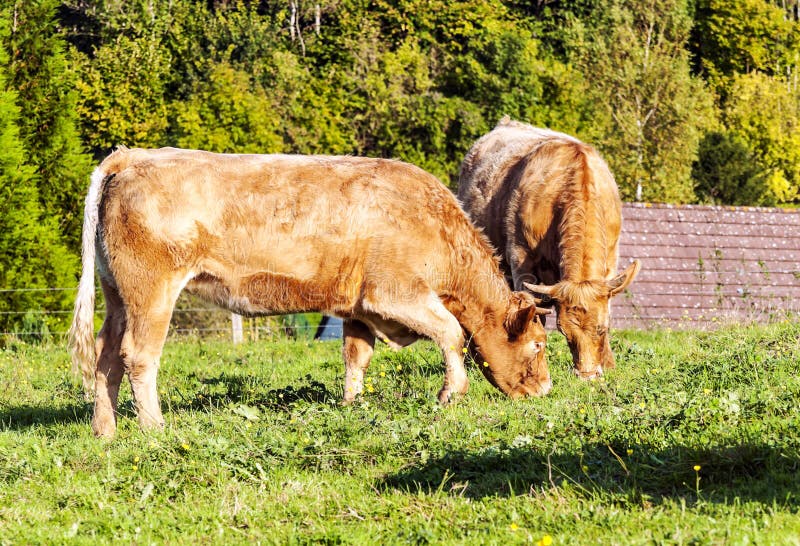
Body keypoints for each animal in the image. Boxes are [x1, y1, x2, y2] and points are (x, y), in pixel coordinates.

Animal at [69, 147, 551, 438]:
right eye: (539, 344)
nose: (545, 390)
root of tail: (131, 155)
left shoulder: (358, 306)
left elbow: (357, 356)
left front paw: (352, 403)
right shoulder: (394, 293)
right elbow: (452, 332)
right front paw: (451, 394)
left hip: (117, 294)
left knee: (106, 356)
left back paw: (105, 430)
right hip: (151, 290)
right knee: (138, 355)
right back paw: (154, 430)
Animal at [458, 118, 640, 380]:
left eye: (602, 329)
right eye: (565, 332)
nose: (587, 376)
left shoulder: (611, 261)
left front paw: (608, 363)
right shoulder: (522, 260)